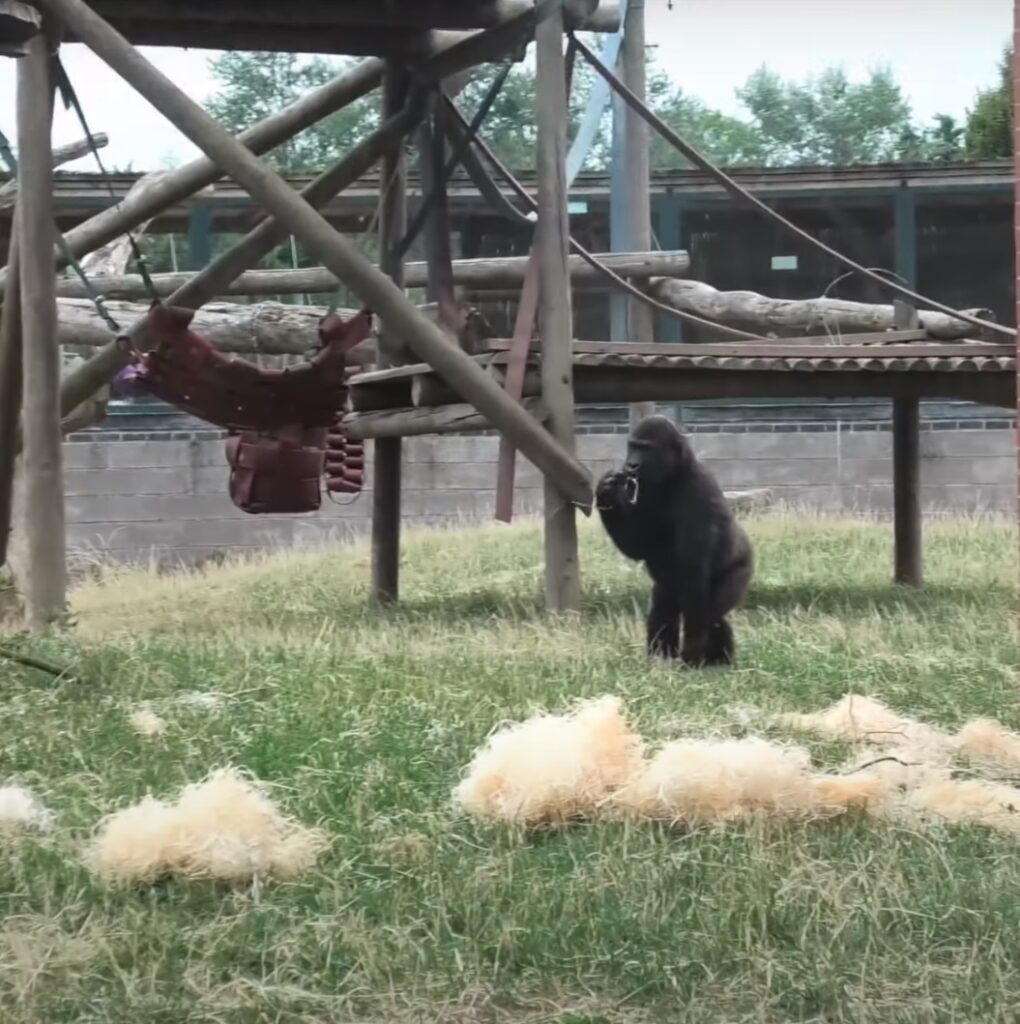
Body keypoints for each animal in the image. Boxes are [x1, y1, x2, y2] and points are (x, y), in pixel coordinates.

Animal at [595, 415, 754, 667]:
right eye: (633, 446)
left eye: (646, 449)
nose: (631, 465)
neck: (675, 472)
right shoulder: (642, 487)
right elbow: (638, 547)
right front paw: (606, 492)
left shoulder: (698, 488)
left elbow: (693, 571)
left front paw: (692, 653)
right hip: (670, 587)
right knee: (664, 606)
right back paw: (661, 657)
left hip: (741, 570)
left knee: (713, 614)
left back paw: (717, 661)